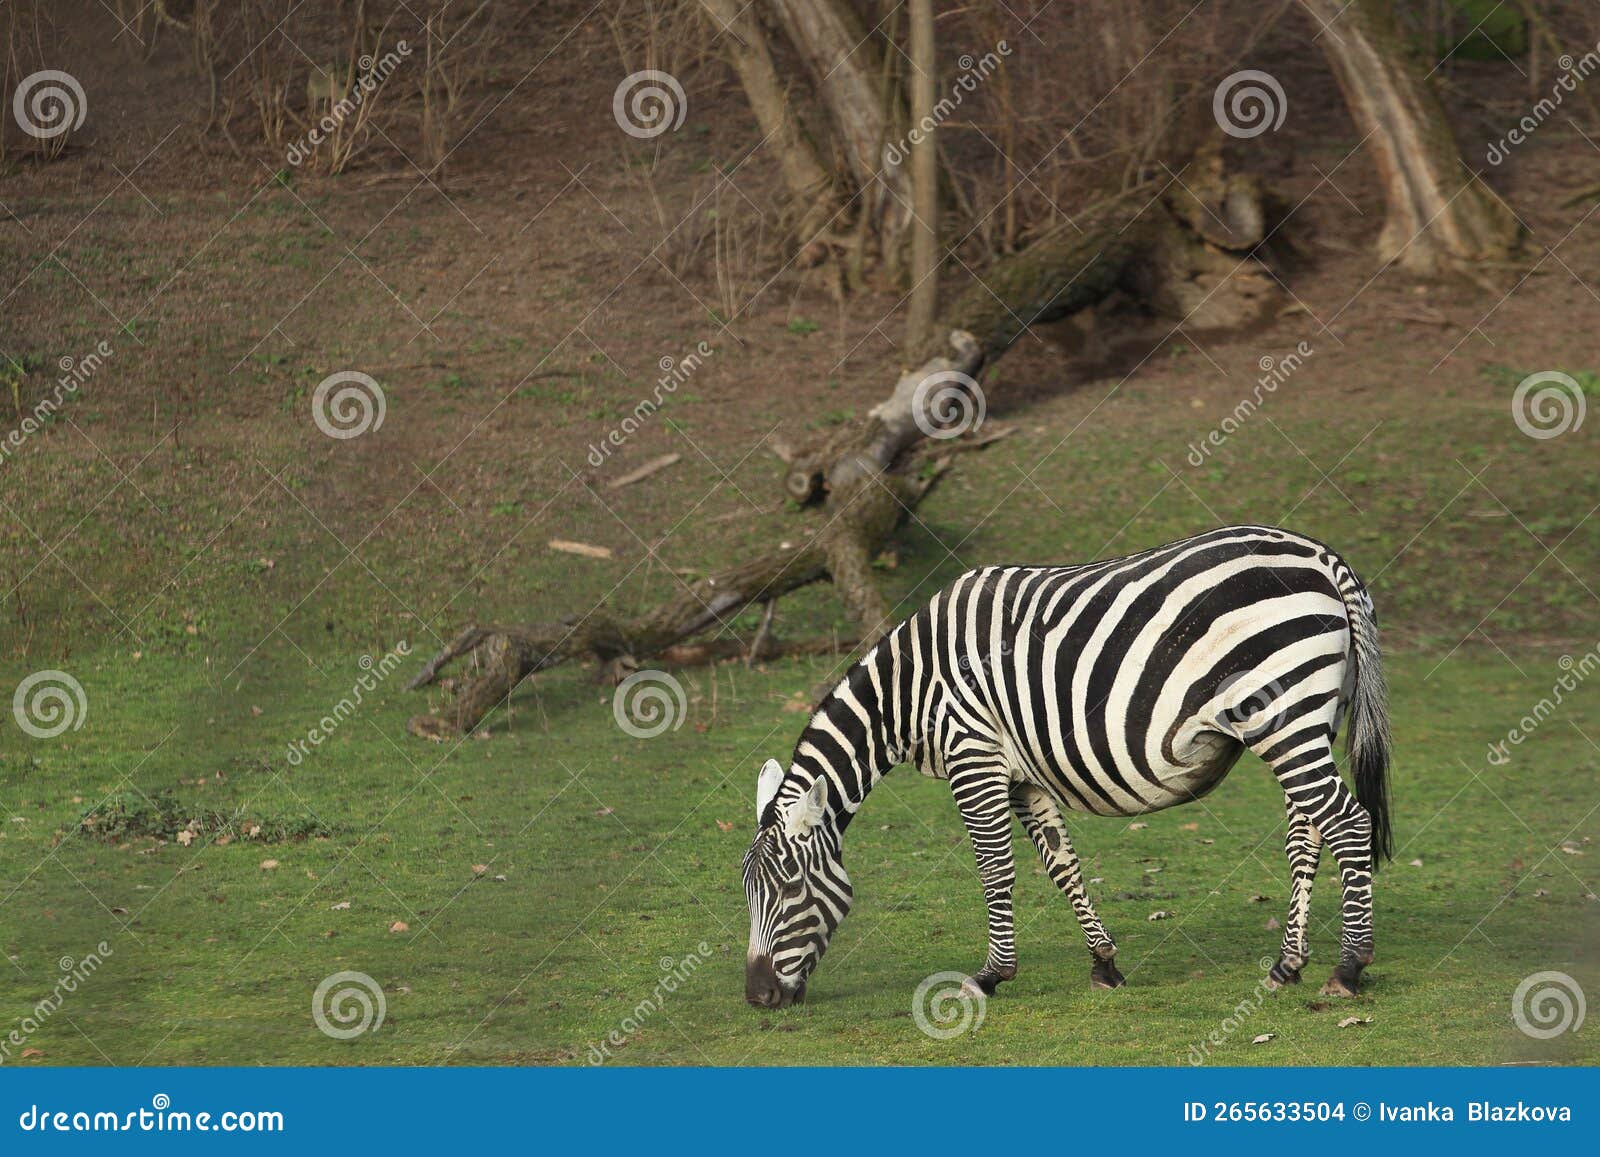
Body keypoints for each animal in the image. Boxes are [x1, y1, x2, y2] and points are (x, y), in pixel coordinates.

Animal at [743, 524, 1392, 1009]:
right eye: (746, 891)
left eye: (790, 888)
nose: (756, 997)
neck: (911, 688)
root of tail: (1322, 555)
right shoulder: (1021, 773)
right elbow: (1062, 866)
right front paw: (1104, 964)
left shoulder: (972, 756)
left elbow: (995, 871)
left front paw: (990, 975)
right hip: (1310, 718)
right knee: (1307, 834)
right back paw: (1287, 964)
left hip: (1283, 715)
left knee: (1349, 824)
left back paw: (1349, 967)